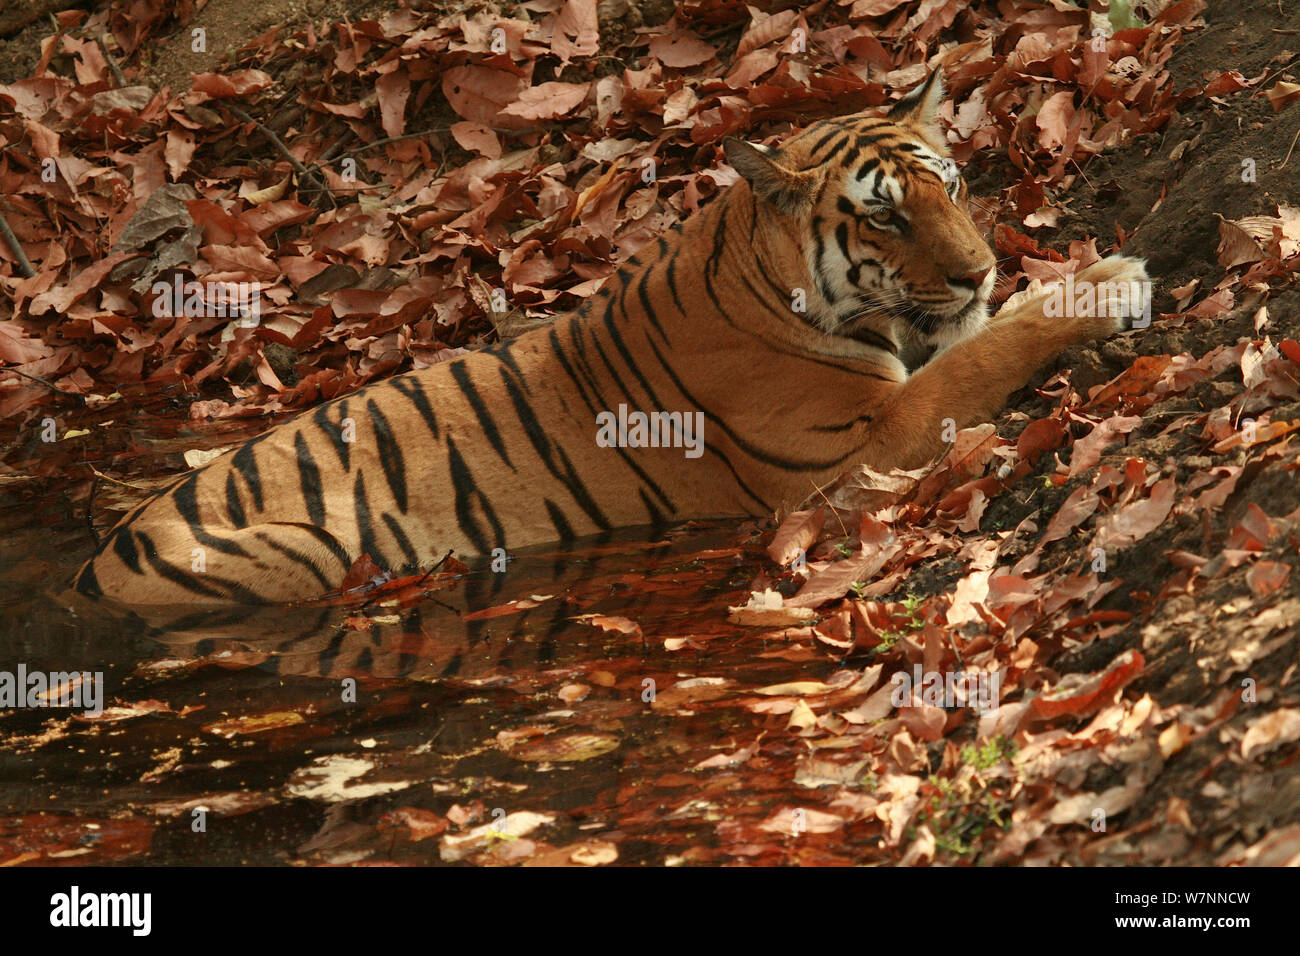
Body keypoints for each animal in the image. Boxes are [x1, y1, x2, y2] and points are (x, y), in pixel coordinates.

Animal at [71, 70, 1148, 607]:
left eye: (953, 186)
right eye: (883, 215)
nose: (977, 271)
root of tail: (99, 561)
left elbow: (973, 340)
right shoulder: (860, 446)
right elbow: (982, 353)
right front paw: (1102, 282)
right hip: (307, 553)